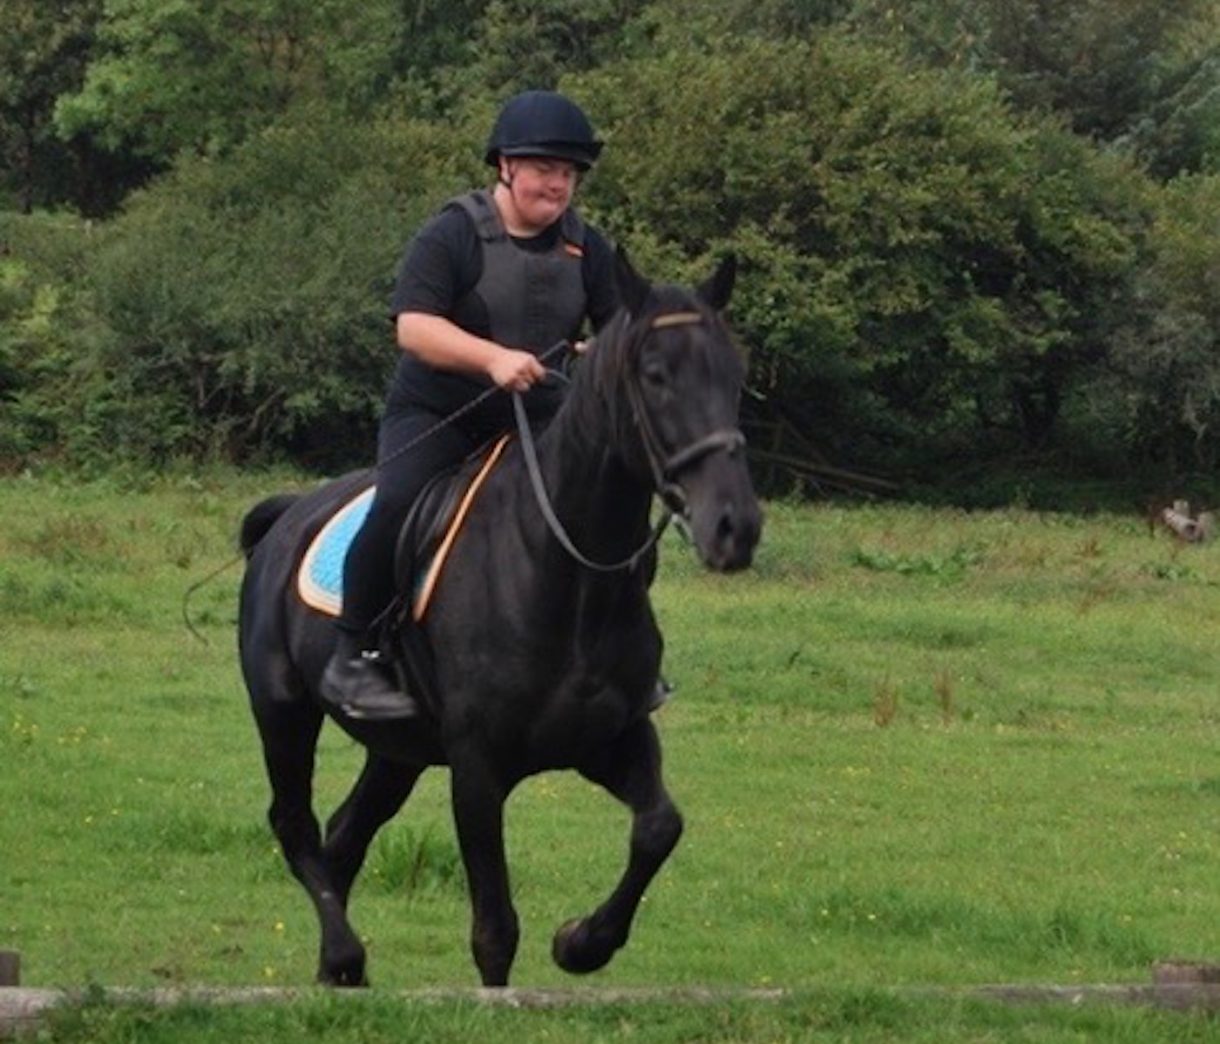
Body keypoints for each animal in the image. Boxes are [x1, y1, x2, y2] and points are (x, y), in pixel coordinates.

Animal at [236, 251, 762, 988]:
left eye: (734, 375)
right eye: (656, 374)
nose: (734, 527)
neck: (566, 578)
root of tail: (285, 519)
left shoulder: (612, 736)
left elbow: (660, 827)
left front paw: (581, 942)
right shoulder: (477, 769)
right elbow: (495, 930)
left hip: (398, 751)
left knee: (343, 836)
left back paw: (337, 974)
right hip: (283, 713)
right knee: (293, 823)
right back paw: (344, 954)